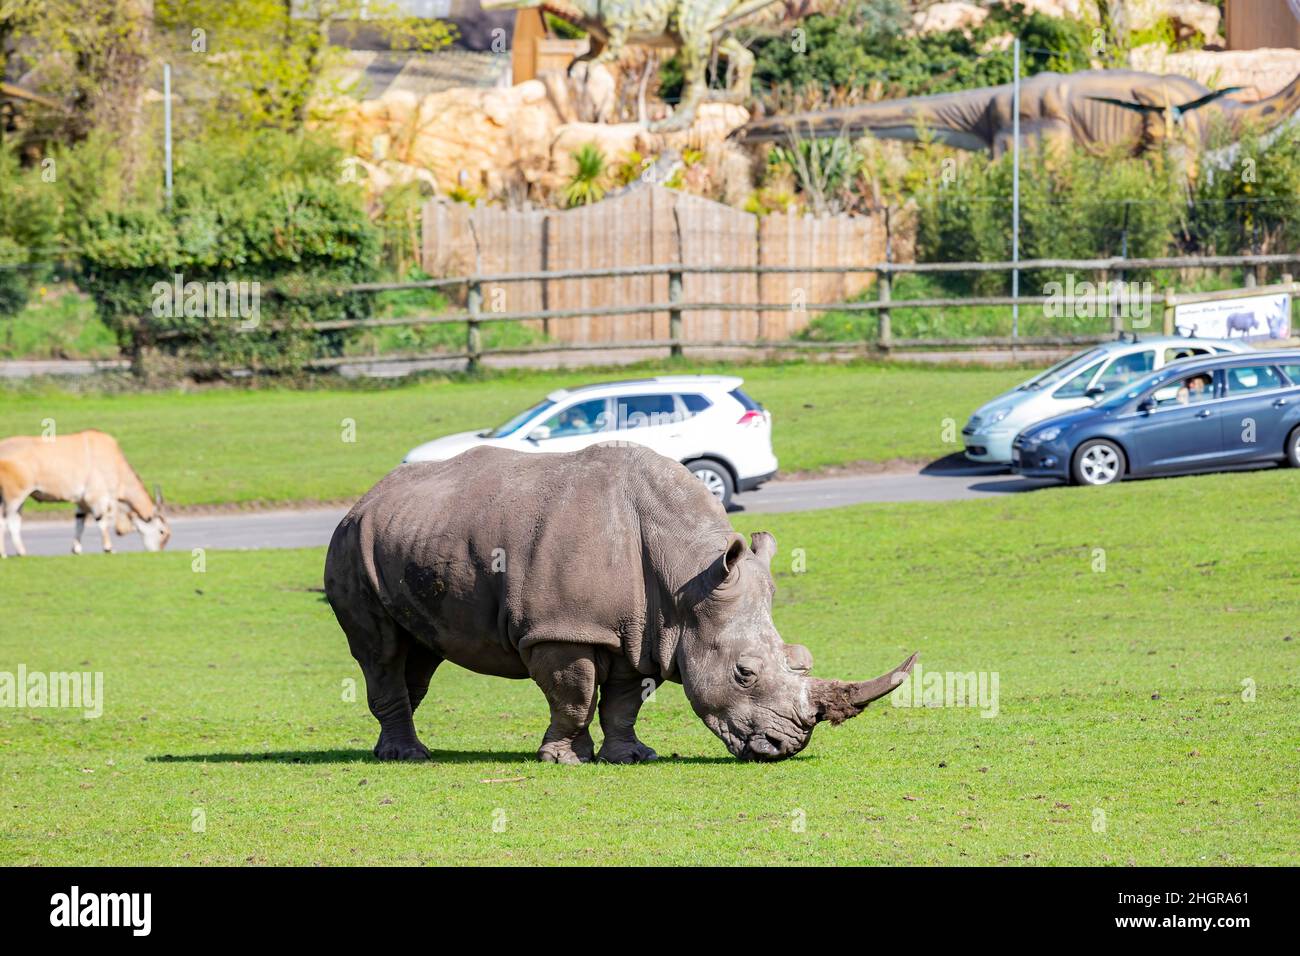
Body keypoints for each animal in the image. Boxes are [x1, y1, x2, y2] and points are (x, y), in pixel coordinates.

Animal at [324, 444, 916, 763]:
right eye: (743, 674)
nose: (788, 744)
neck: (686, 575)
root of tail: (366, 498)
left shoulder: (645, 630)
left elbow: (623, 702)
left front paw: (630, 756)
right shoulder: (564, 628)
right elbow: (574, 698)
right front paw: (564, 760)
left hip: (409, 537)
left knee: (419, 655)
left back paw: (402, 748)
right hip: (351, 543)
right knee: (381, 652)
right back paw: (407, 756)